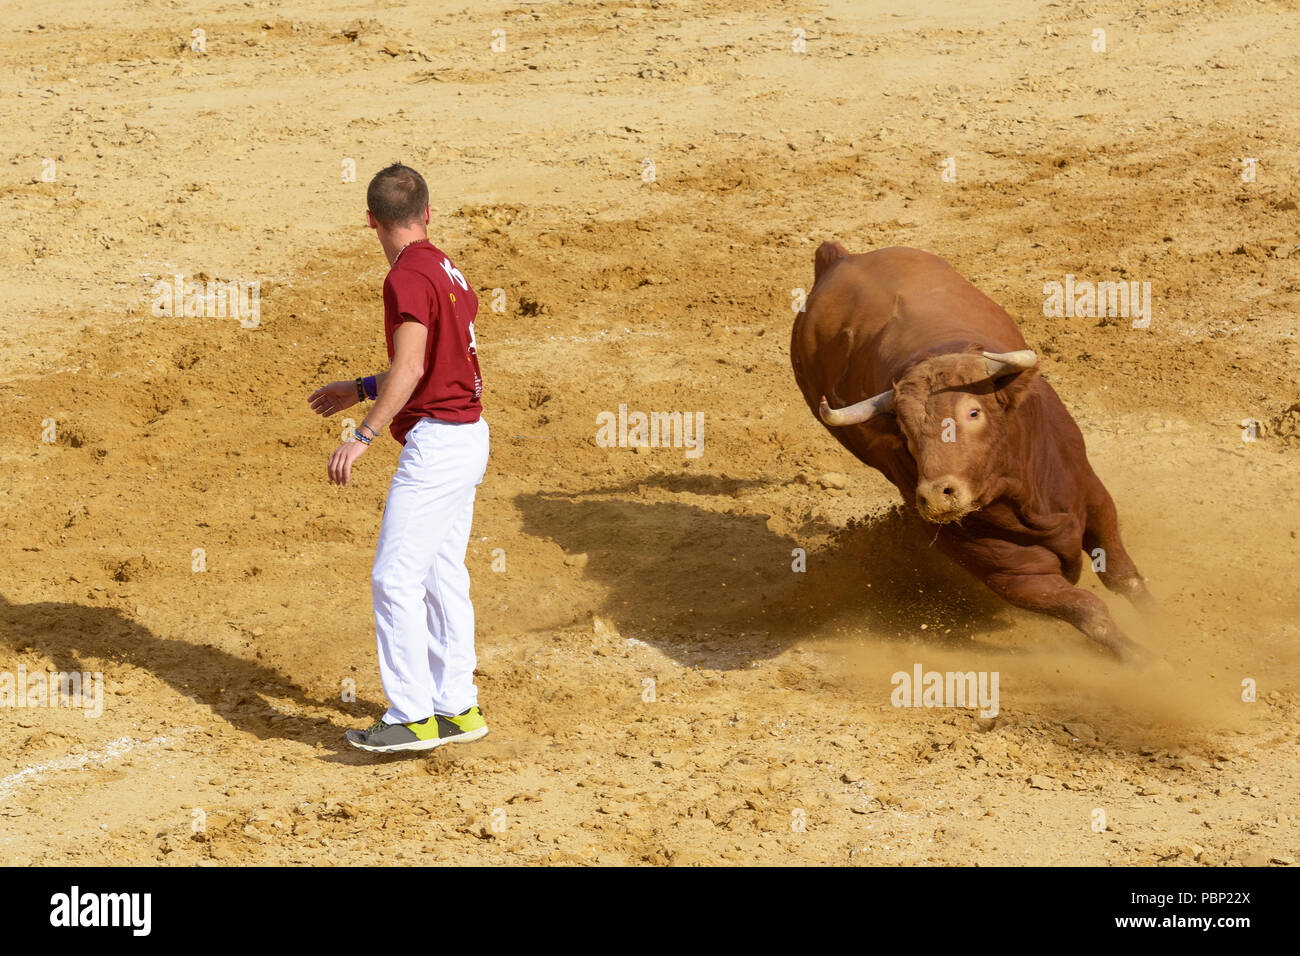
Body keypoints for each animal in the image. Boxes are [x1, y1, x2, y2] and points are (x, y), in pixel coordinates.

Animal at [790, 243, 1155, 662]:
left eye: (973, 412)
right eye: (905, 432)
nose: (936, 496)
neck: (1020, 493)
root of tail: (837, 258)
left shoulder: (1094, 499)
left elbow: (1123, 576)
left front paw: (1158, 624)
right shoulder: (1012, 574)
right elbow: (1087, 610)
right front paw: (1147, 659)